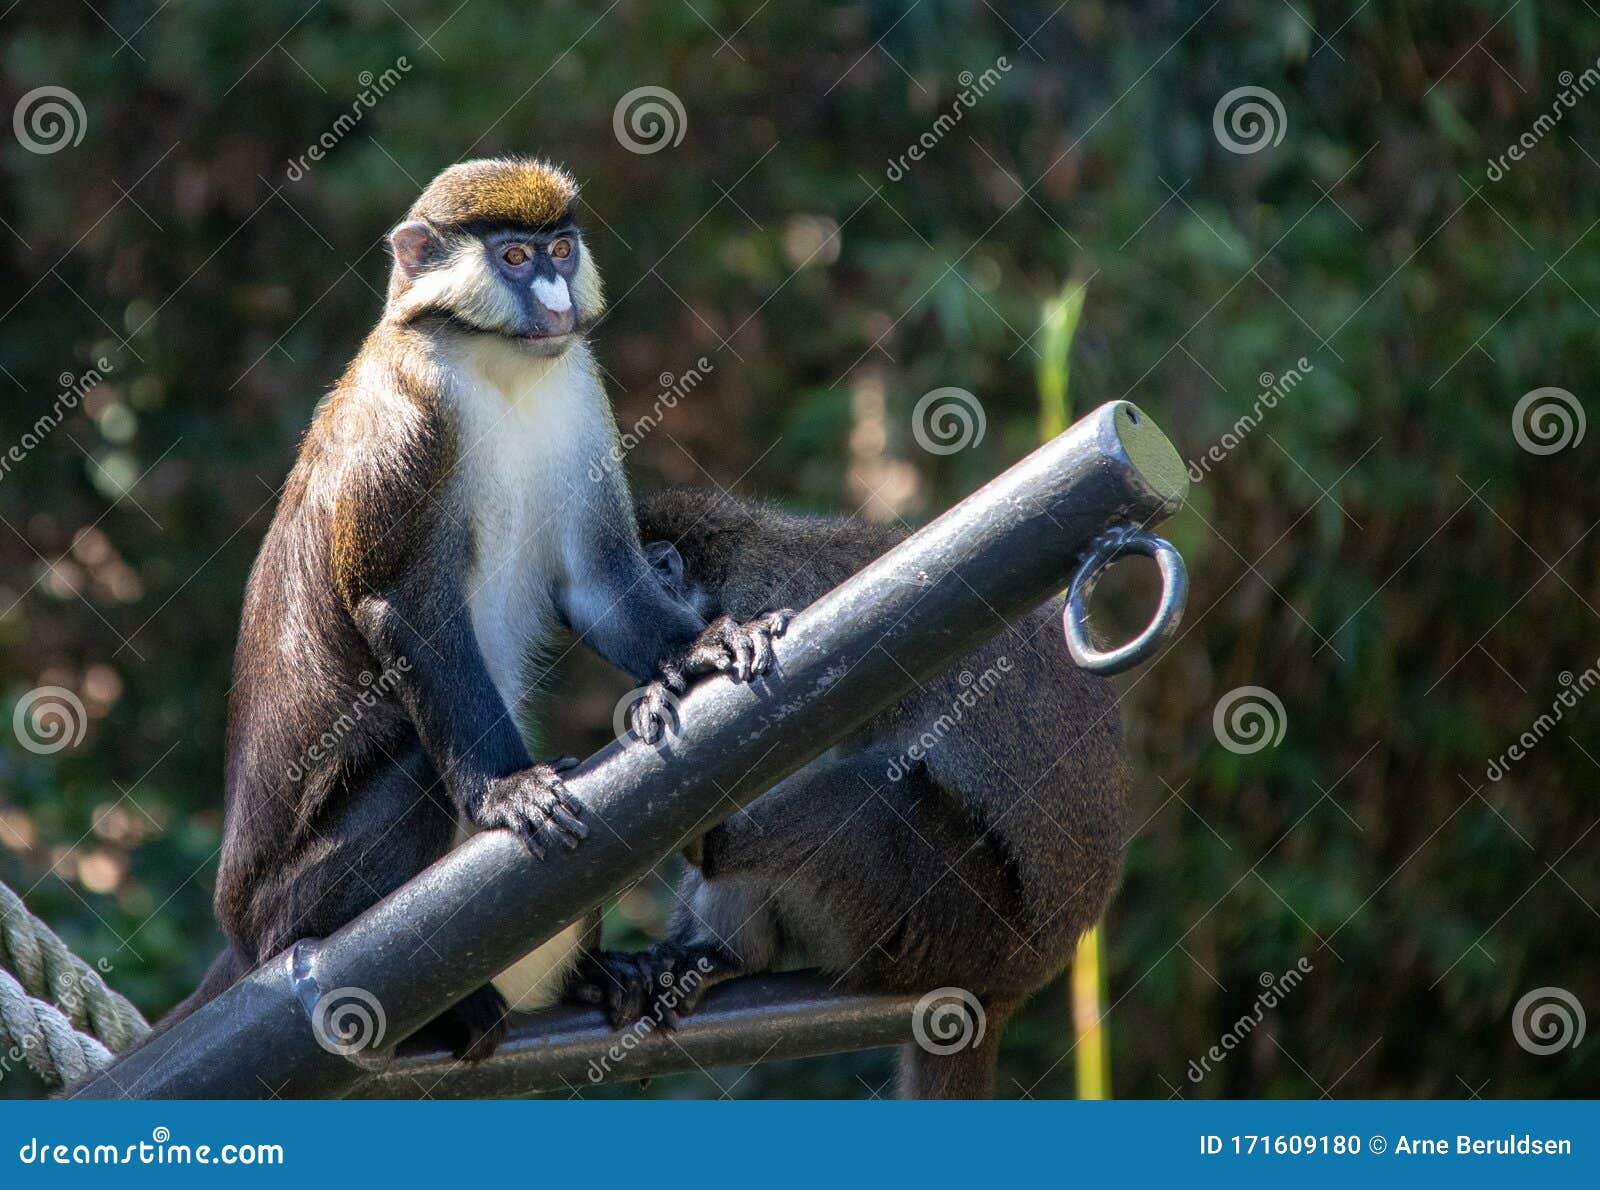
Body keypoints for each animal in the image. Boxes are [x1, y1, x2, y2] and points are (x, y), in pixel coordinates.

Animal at [136, 159, 780, 1066]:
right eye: (511, 256)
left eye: (558, 248)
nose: (555, 299)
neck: (490, 365)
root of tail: (239, 941)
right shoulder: (408, 428)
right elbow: (400, 608)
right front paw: (508, 791)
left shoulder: (576, 386)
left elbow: (597, 577)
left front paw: (703, 649)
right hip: (291, 916)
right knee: (410, 768)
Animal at [578, 486, 1131, 1098]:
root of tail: (1021, 979)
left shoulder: (768, 611)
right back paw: (722, 954)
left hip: (962, 932)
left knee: (868, 800)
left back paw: (717, 873)